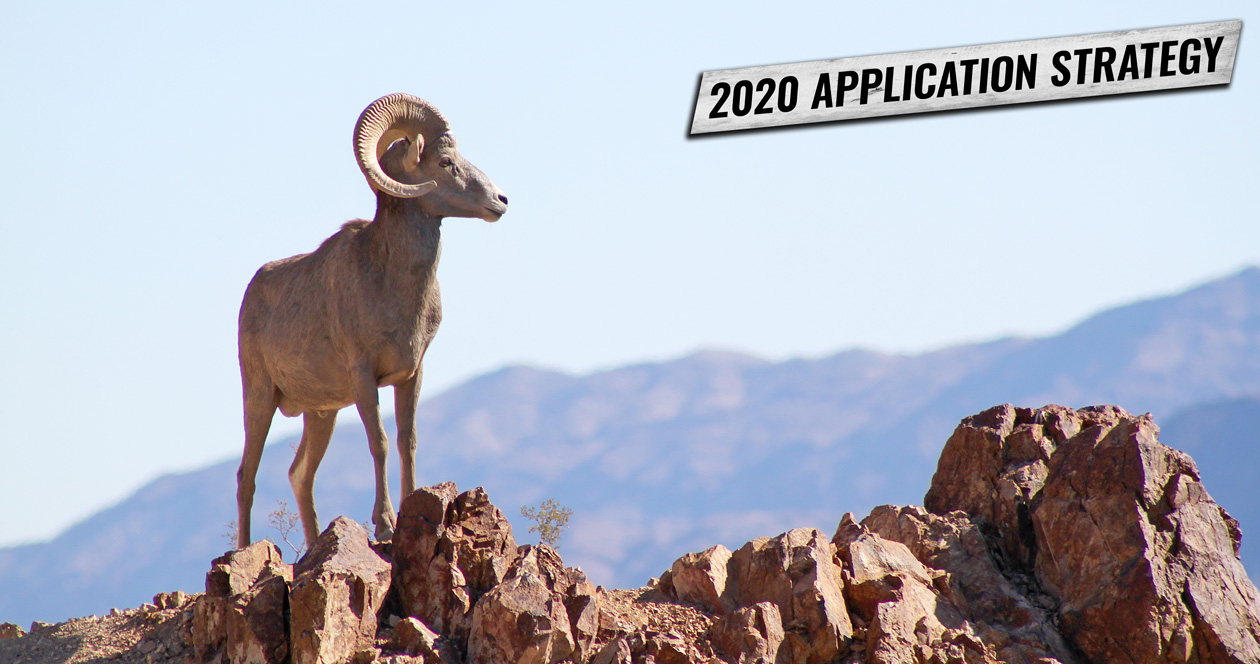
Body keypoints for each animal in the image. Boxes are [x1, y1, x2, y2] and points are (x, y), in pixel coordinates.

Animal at [235, 93, 508, 548]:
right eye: (445, 162)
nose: (501, 200)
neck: (390, 284)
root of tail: (252, 290)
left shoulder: (411, 375)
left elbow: (406, 441)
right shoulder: (364, 375)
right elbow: (378, 443)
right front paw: (385, 524)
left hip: (320, 414)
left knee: (300, 475)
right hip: (260, 398)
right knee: (246, 478)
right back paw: (242, 550)